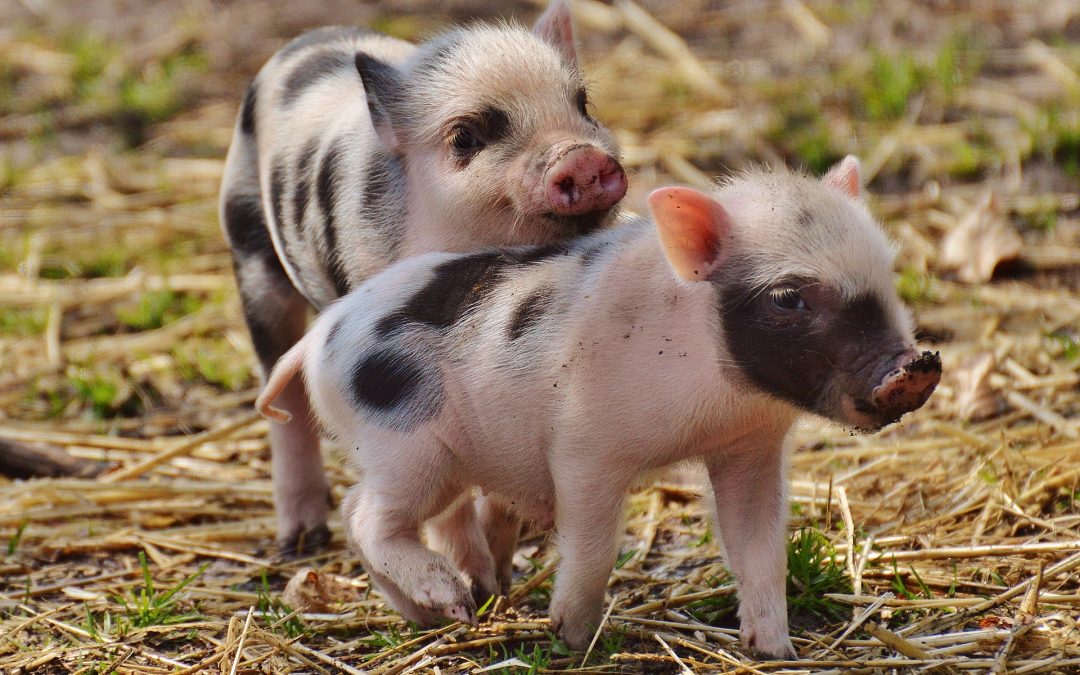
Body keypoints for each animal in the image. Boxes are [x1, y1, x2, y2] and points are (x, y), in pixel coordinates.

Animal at [219, 0, 627, 554]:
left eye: (583, 104)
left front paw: (501, 552)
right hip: (250, 248)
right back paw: (302, 541)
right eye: (465, 137)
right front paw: (474, 573)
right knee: (281, 393)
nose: (579, 156)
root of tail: (303, 39)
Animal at [255, 157, 941, 657]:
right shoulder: (584, 446)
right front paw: (568, 639)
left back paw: (438, 615)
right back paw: (453, 601)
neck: (718, 398)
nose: (915, 367)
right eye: (789, 298)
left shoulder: (749, 449)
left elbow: (759, 547)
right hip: (406, 445)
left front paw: (774, 651)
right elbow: (593, 546)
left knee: (369, 519)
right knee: (366, 517)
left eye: (887, 272)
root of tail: (319, 338)